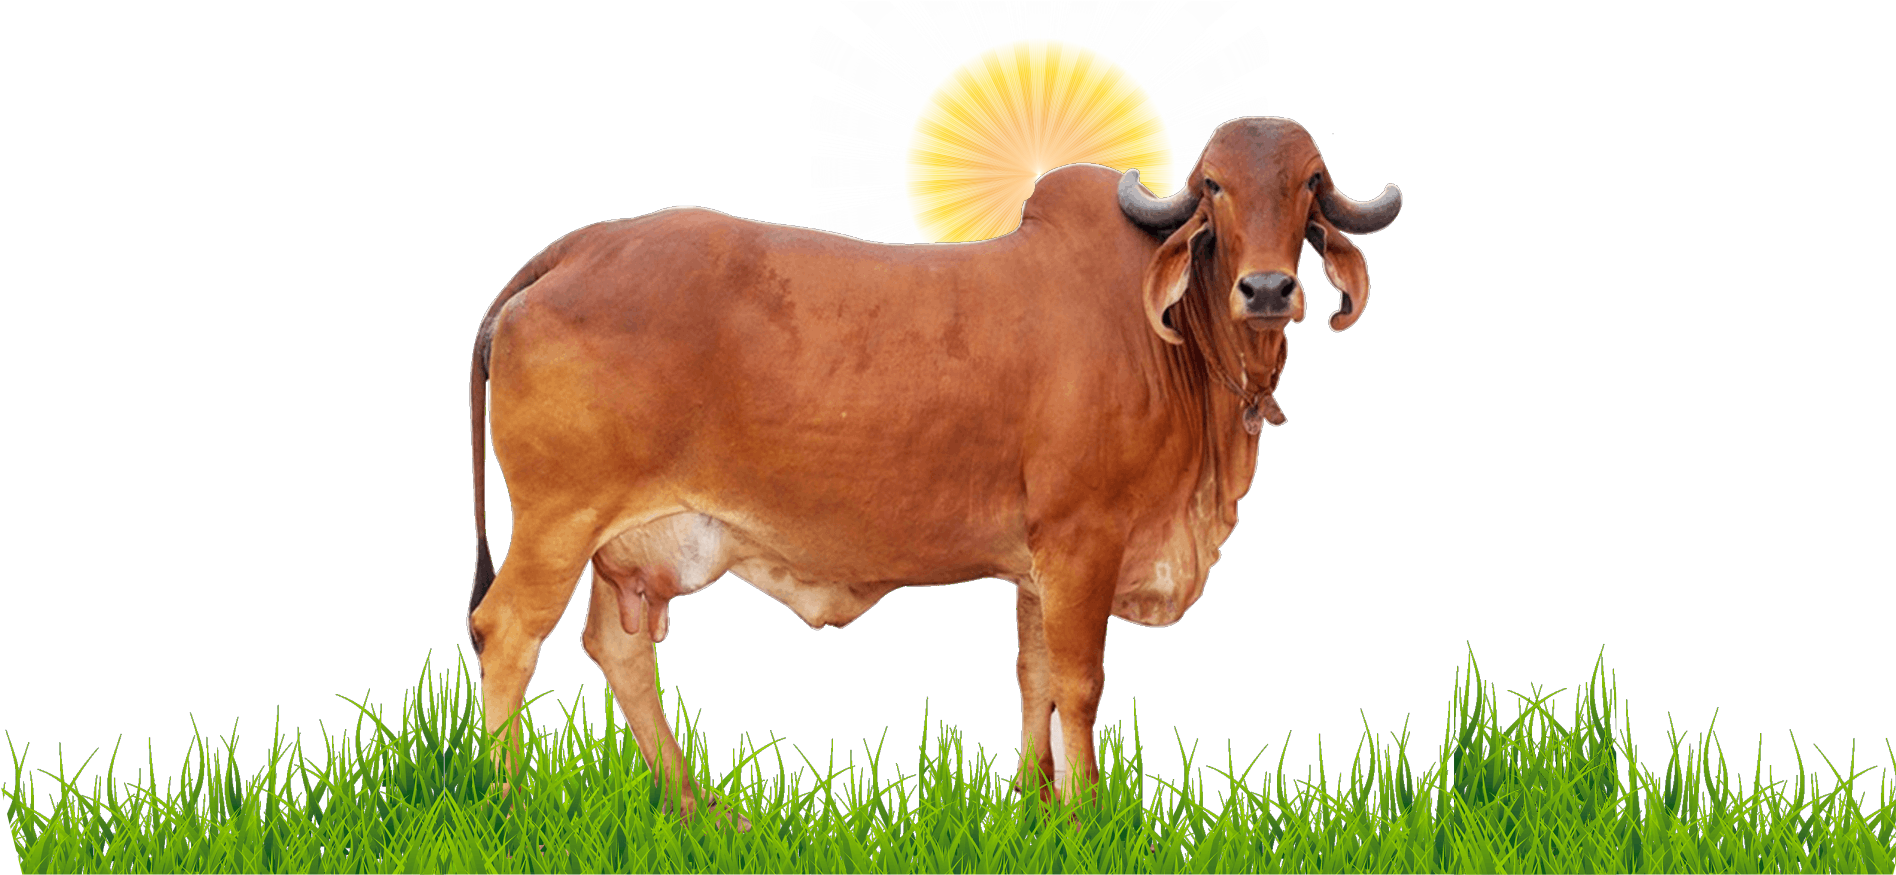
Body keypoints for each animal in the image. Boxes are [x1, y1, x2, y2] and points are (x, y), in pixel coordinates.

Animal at [467, 116, 1400, 831]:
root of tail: (581, 247)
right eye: (1213, 188)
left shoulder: (1037, 565)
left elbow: (1033, 676)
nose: (1268, 289)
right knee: (508, 631)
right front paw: (1091, 816)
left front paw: (1035, 802)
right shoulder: (1084, 541)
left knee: (617, 646)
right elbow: (1080, 683)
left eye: (1311, 183)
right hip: (557, 520)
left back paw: (702, 809)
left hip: (625, 545)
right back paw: (510, 800)